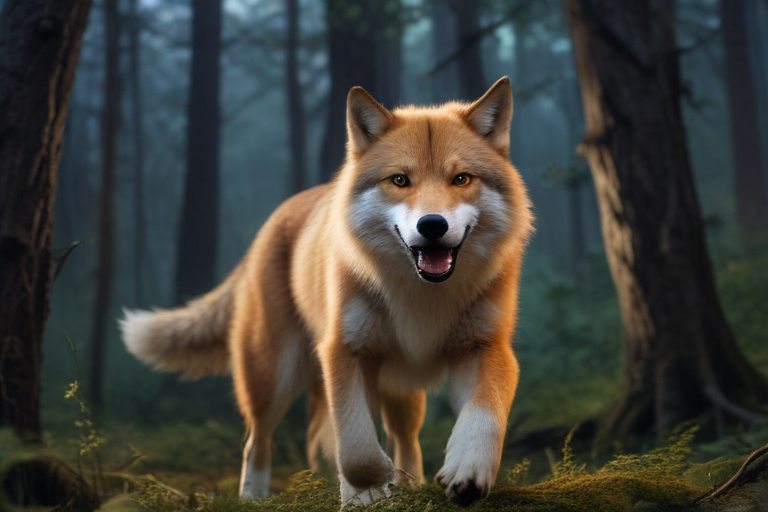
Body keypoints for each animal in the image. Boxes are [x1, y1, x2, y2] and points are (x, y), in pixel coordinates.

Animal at [120, 76, 533, 508]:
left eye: (461, 178)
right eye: (400, 180)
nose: (432, 225)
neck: (422, 296)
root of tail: (269, 226)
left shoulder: (485, 349)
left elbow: (484, 414)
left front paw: (467, 473)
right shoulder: (344, 351)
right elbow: (356, 447)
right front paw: (367, 491)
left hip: (400, 391)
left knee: (405, 440)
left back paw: (408, 484)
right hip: (272, 378)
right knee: (257, 442)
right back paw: (255, 497)